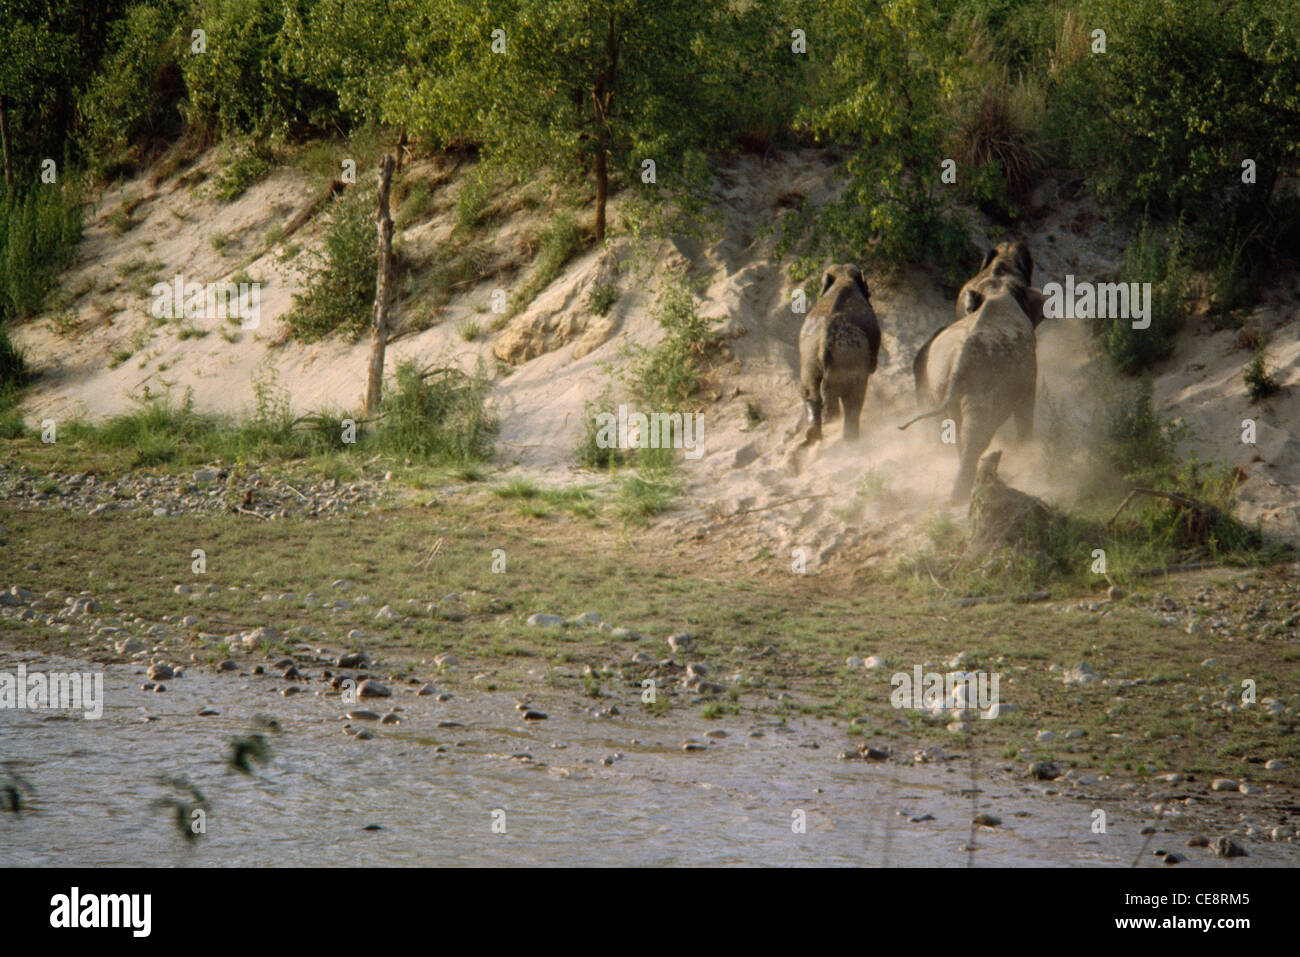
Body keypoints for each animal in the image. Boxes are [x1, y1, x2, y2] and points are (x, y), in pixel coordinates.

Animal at [797, 264, 882, 444]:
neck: (843, 278)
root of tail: (825, 337)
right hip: (851, 359)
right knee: (854, 400)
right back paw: (851, 439)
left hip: (809, 355)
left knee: (810, 391)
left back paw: (813, 434)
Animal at [900, 270, 1041, 502]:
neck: (997, 291)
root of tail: (959, 365)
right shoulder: (1029, 369)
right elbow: (1026, 408)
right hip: (983, 385)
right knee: (977, 434)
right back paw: (960, 496)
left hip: (944, 386)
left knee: (959, 431)